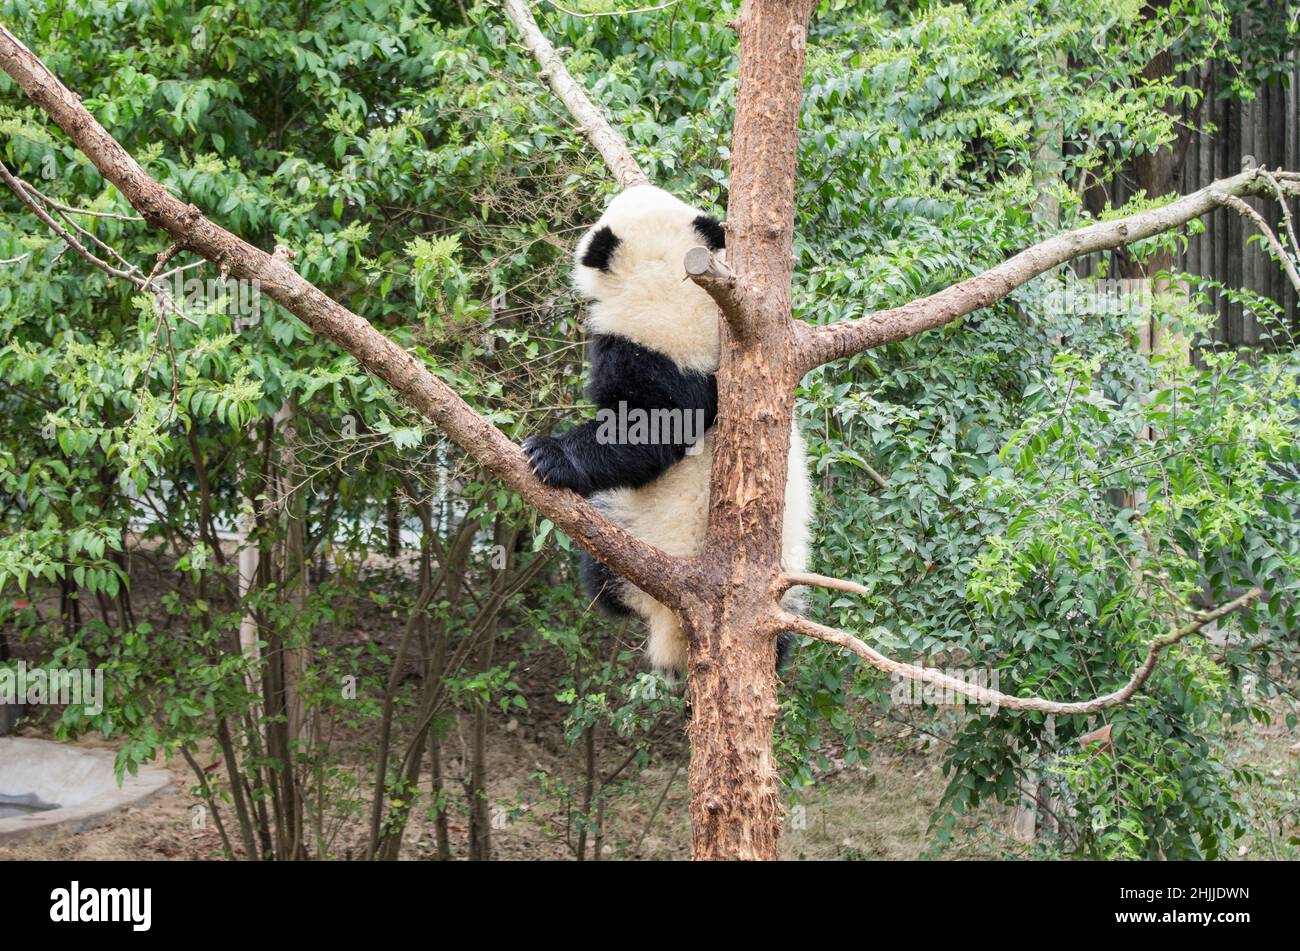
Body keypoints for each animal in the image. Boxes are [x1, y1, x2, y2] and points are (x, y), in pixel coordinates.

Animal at [523, 185, 813, 675]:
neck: (668, 275)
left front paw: (548, 454)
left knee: (600, 574)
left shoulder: (647, 345)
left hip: (636, 530)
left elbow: (642, 430)